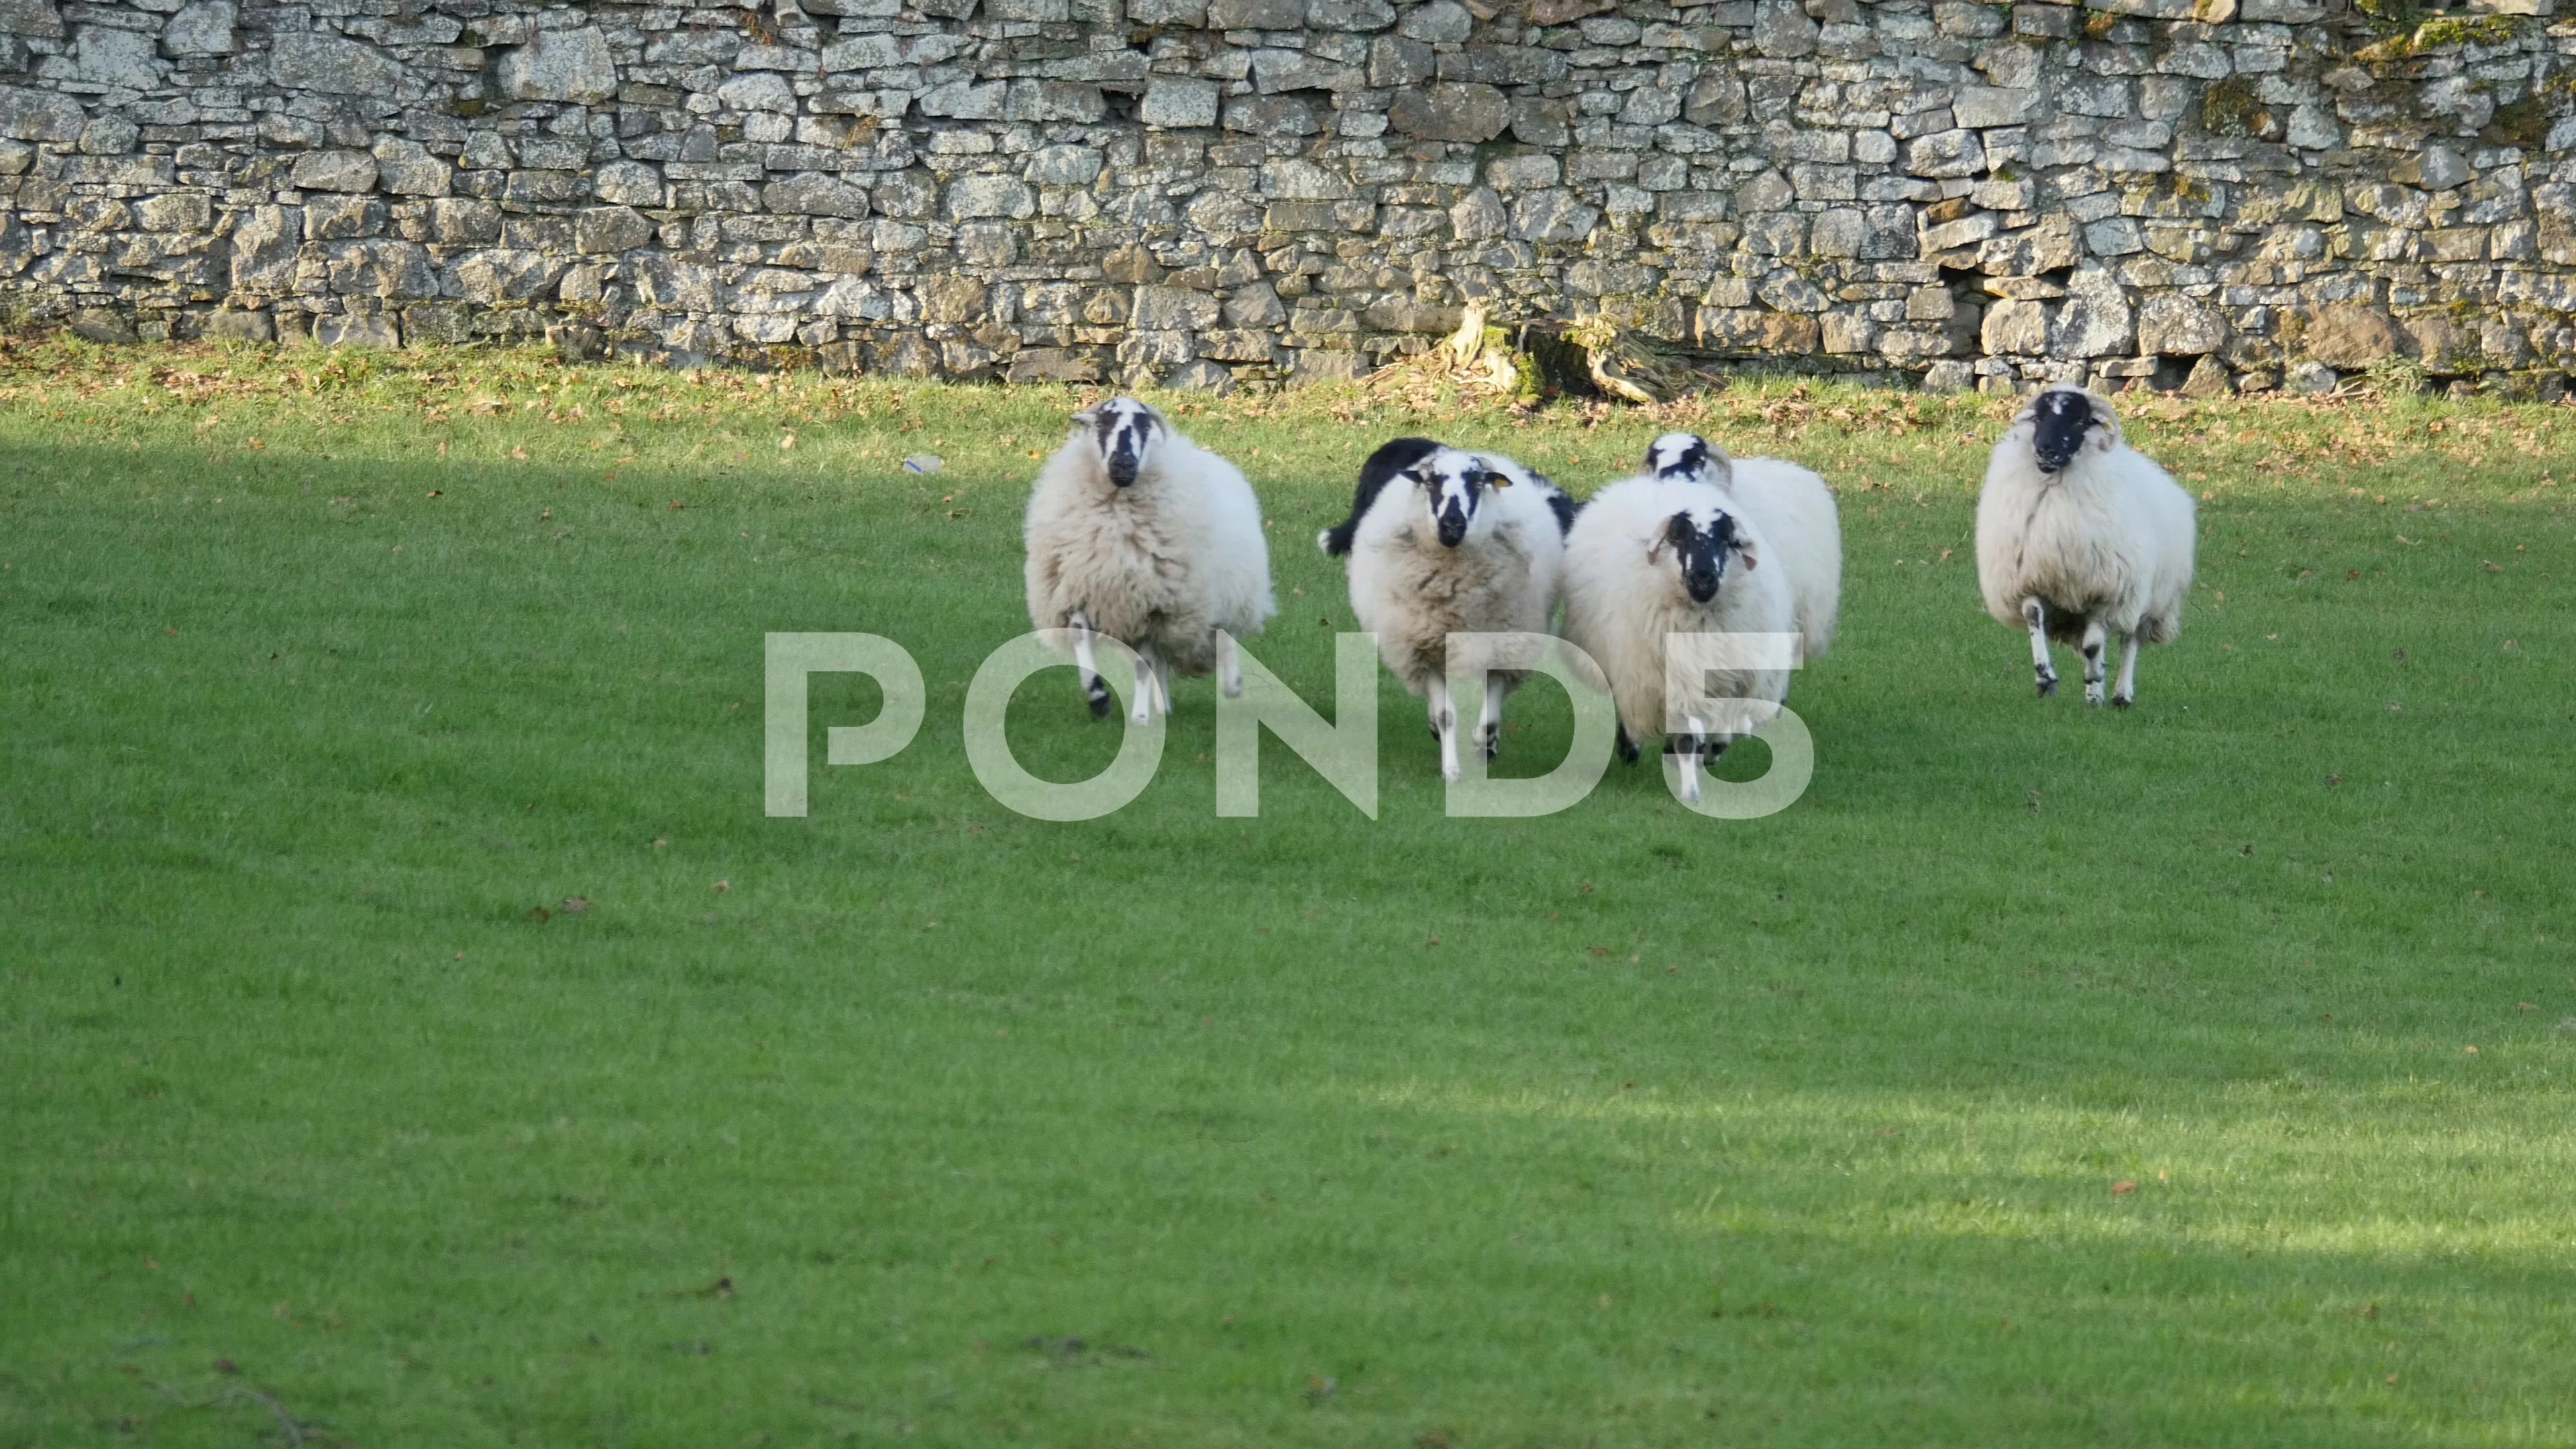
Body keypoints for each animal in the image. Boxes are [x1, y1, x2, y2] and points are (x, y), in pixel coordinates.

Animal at [1023, 396, 1277, 725]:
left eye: (1144, 426)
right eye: (1102, 422)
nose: (1123, 463)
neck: (1116, 512)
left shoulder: (1149, 604)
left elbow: (1143, 664)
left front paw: (1140, 718)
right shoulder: (1080, 592)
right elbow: (1083, 640)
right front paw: (1098, 698)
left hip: (1229, 594)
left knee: (1225, 636)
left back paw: (1231, 685)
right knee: (1161, 659)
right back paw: (1163, 705)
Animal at [1320, 438, 1576, 782]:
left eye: (1478, 483)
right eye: (1431, 483)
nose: (1452, 524)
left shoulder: (1503, 647)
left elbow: (1489, 719)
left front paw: (1485, 746)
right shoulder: (1424, 650)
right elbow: (1445, 715)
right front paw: (1451, 770)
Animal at [1560, 451, 1804, 806]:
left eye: (1728, 540)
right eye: (1677, 536)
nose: (1703, 577)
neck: (1701, 622)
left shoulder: (1730, 684)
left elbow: (1721, 734)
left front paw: (1709, 756)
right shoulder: (1676, 683)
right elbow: (1688, 739)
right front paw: (1690, 792)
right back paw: (1633, 747)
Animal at [1974, 387, 2196, 707]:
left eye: (2079, 420)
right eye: (2038, 417)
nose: (2045, 450)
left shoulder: (2108, 593)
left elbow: (2093, 646)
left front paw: (2094, 679)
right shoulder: (2029, 581)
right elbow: (2034, 618)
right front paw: (2046, 678)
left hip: (2147, 599)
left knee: (2129, 641)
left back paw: (2120, 695)